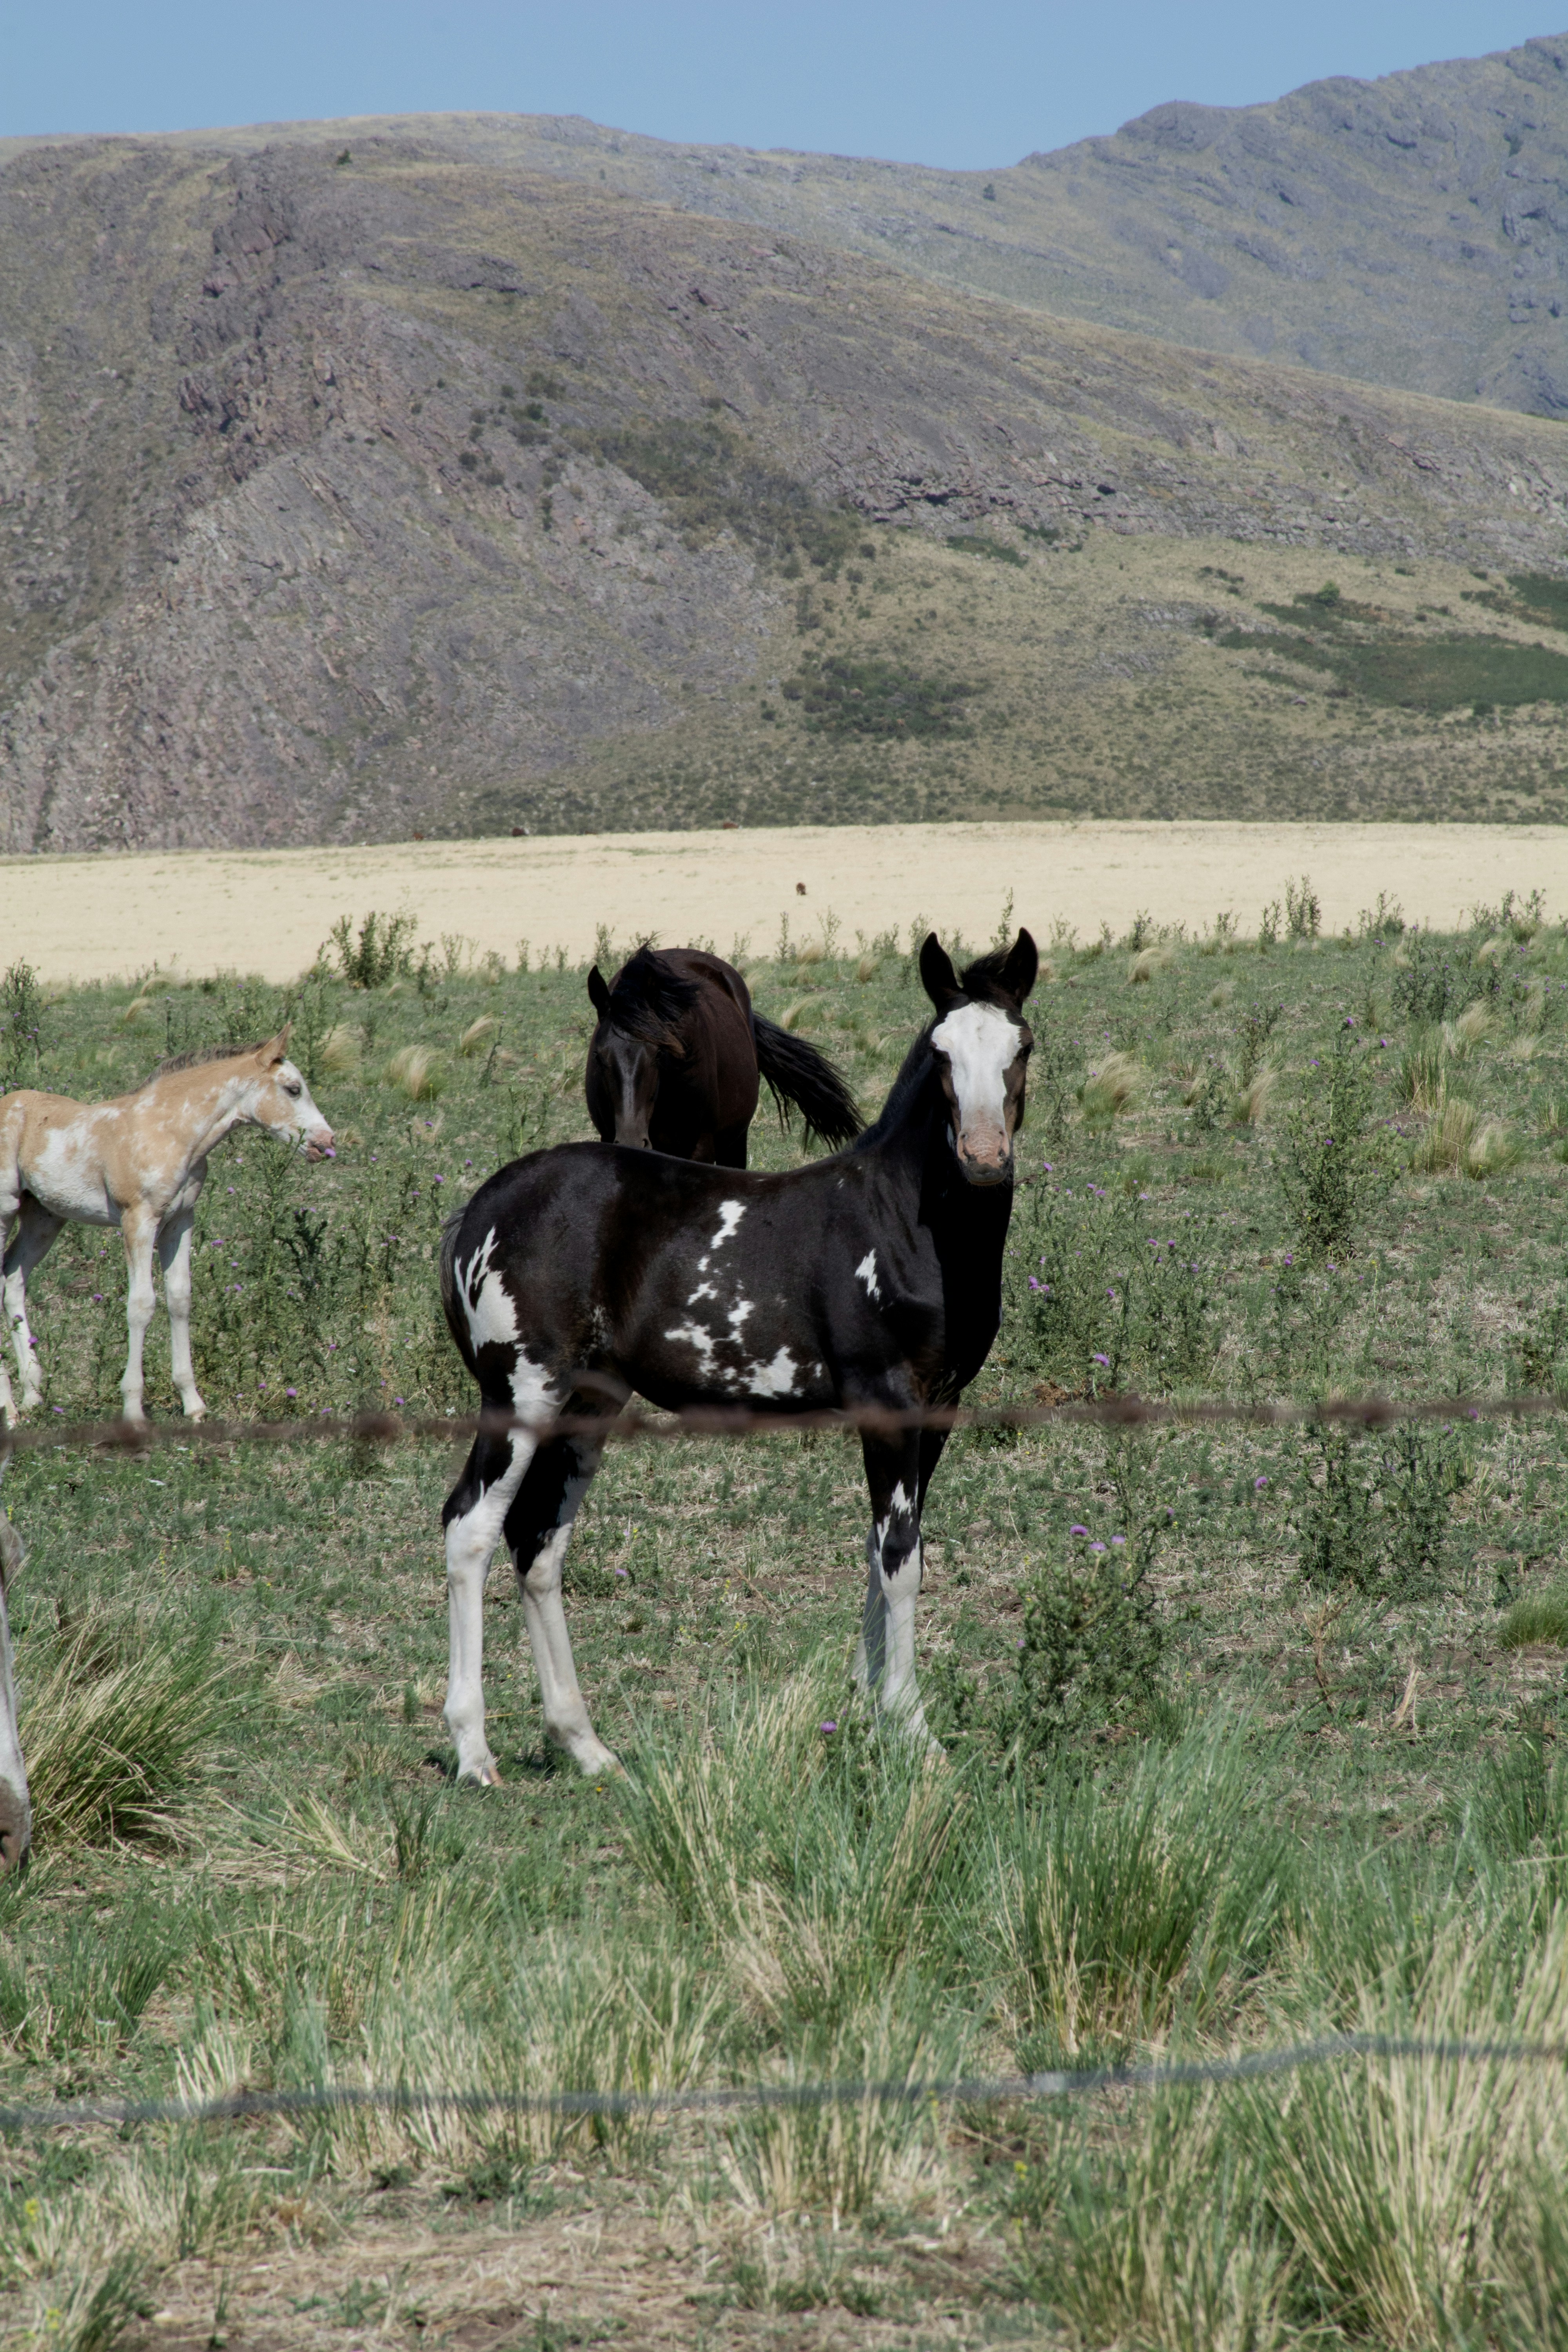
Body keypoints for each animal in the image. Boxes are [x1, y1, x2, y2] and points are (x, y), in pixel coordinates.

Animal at [1, 1031, 334, 1426]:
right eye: (294, 1089)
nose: (327, 1143)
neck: (170, 1132)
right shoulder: (139, 1220)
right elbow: (142, 1304)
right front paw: (133, 1410)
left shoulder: (180, 1221)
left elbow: (179, 1299)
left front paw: (193, 1404)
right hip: (6, 1211)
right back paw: (9, 1409)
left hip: (44, 1218)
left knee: (13, 1277)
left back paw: (32, 1395)